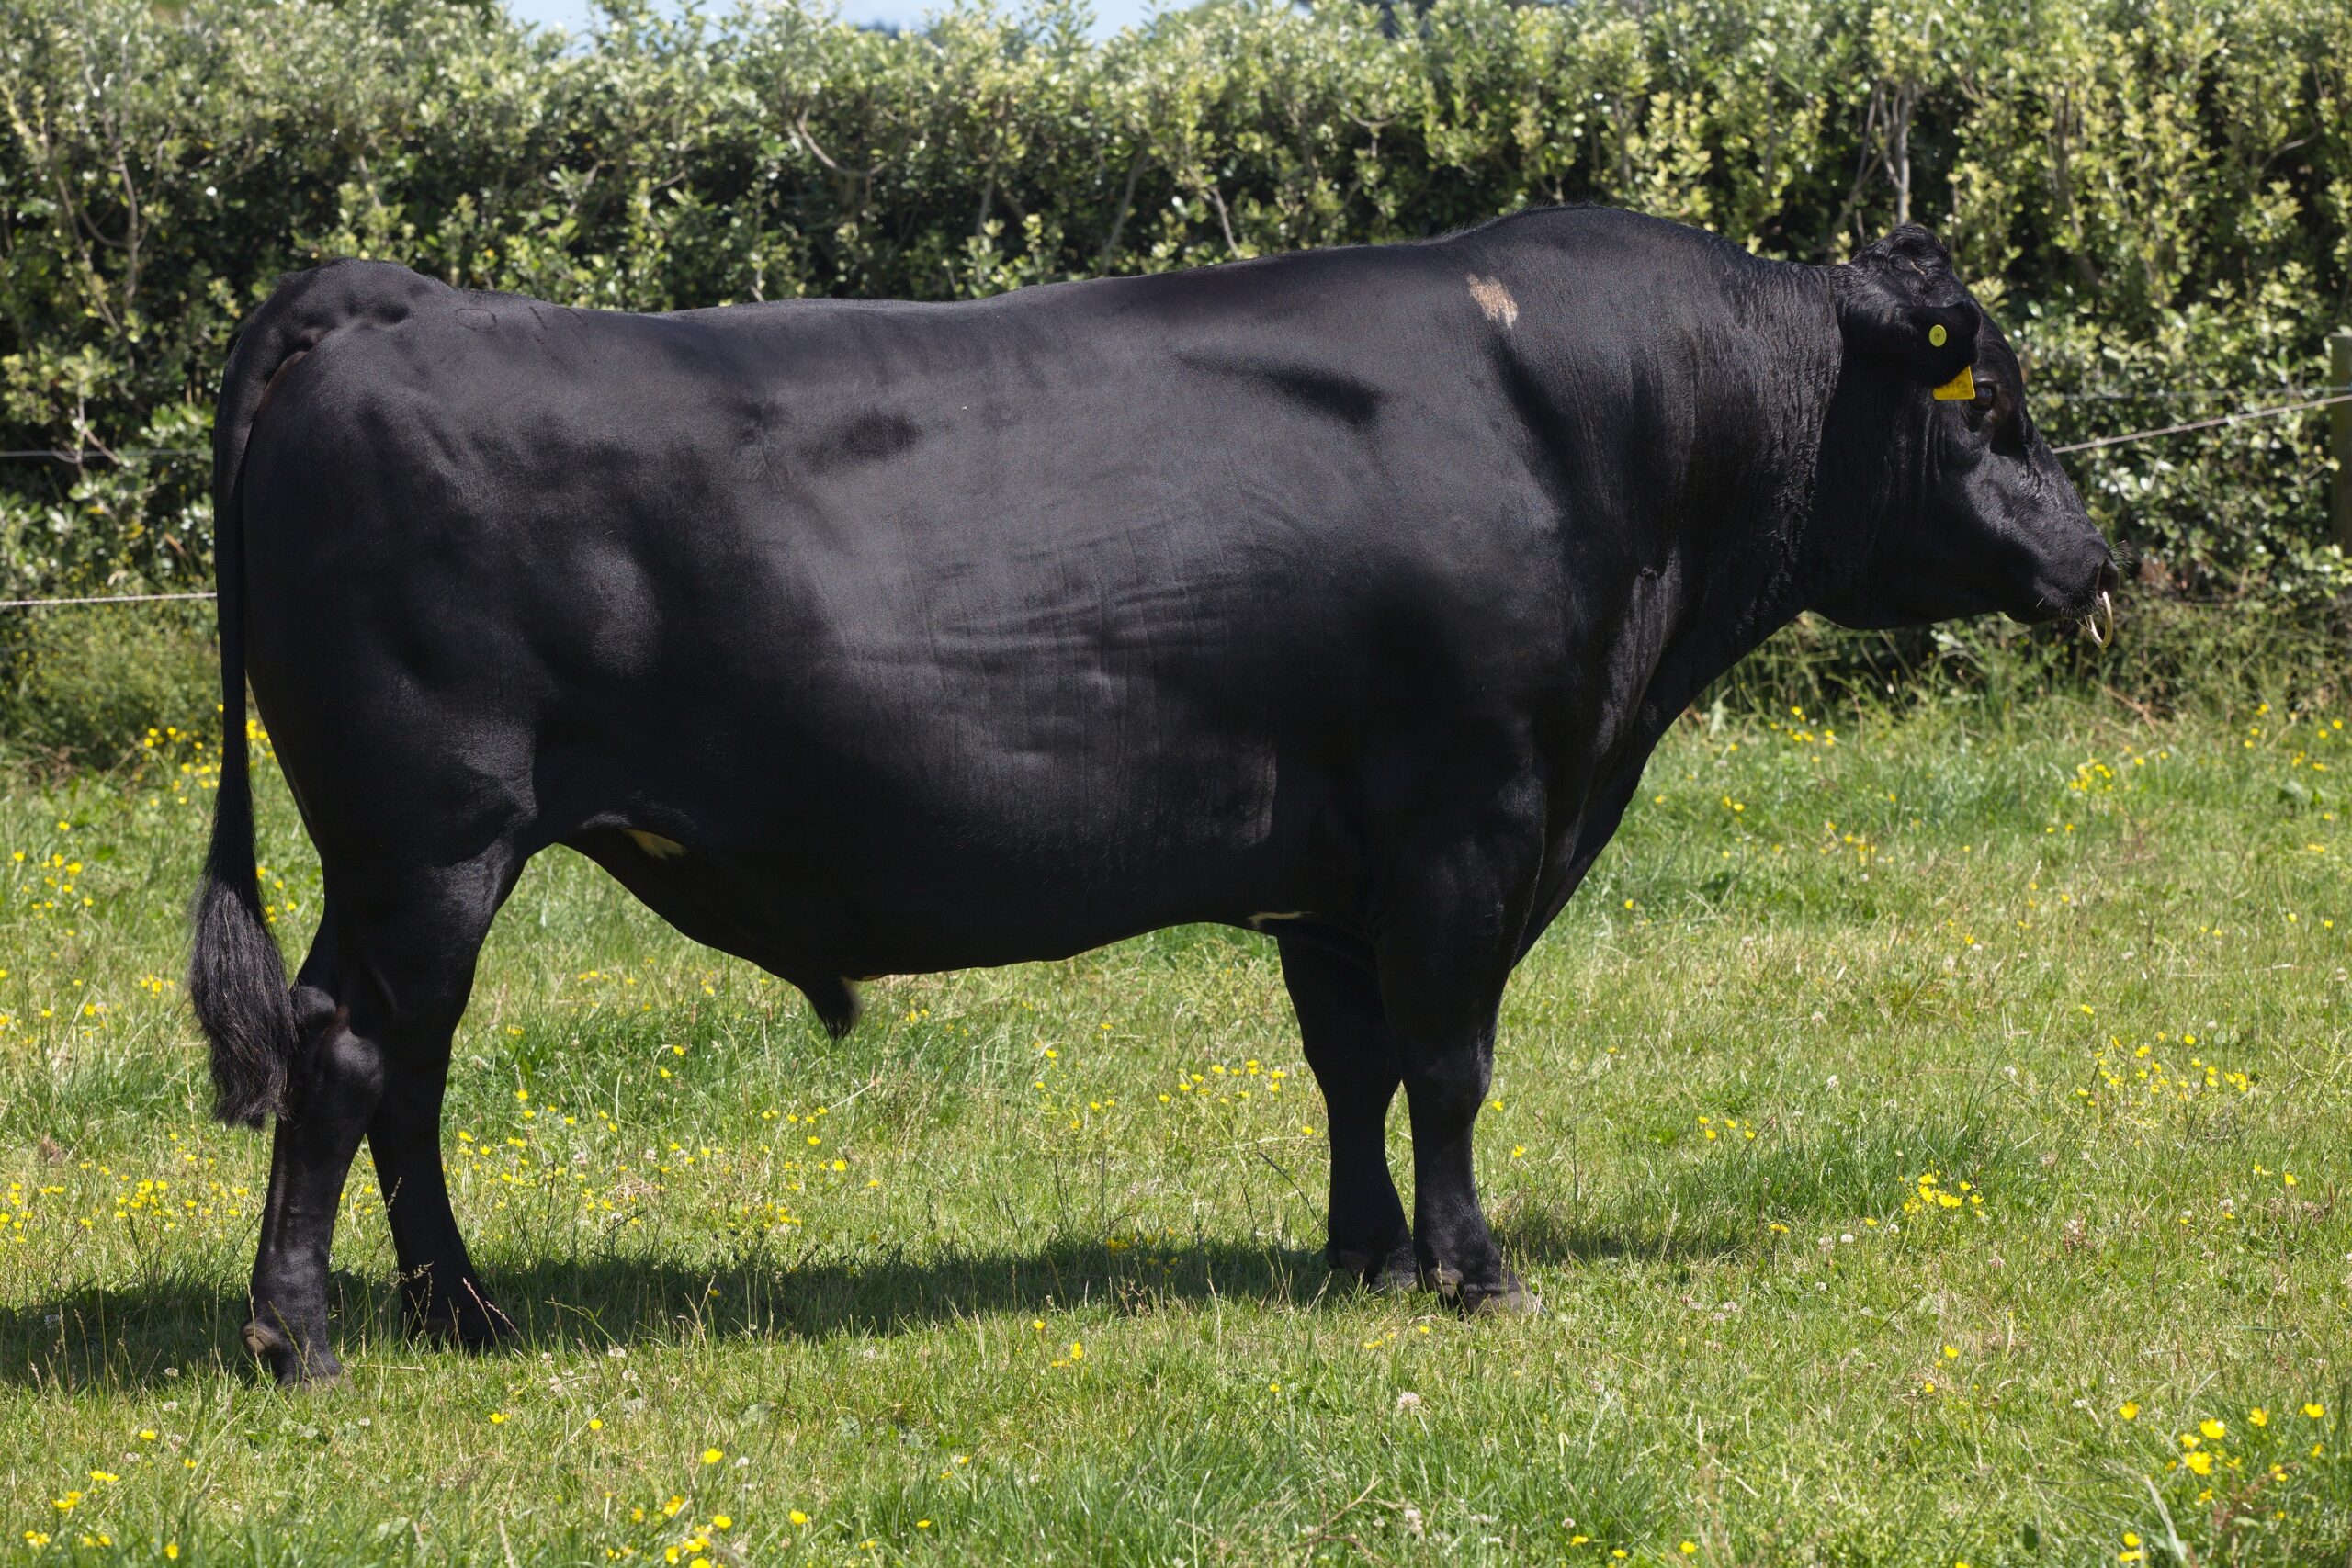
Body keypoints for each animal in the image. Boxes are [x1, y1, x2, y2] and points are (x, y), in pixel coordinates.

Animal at [189, 206, 2116, 1386]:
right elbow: (1448, 1061)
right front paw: (1475, 1269)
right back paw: (306, 1335)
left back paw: (463, 1312)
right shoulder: (1471, 815)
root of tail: (396, 296)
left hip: (410, 863)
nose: (2101, 557)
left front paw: (1363, 1255)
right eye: (1993, 410)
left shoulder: (1335, 860)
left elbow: (1353, 1063)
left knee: (400, 1071)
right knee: (349, 1059)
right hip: (428, 842)